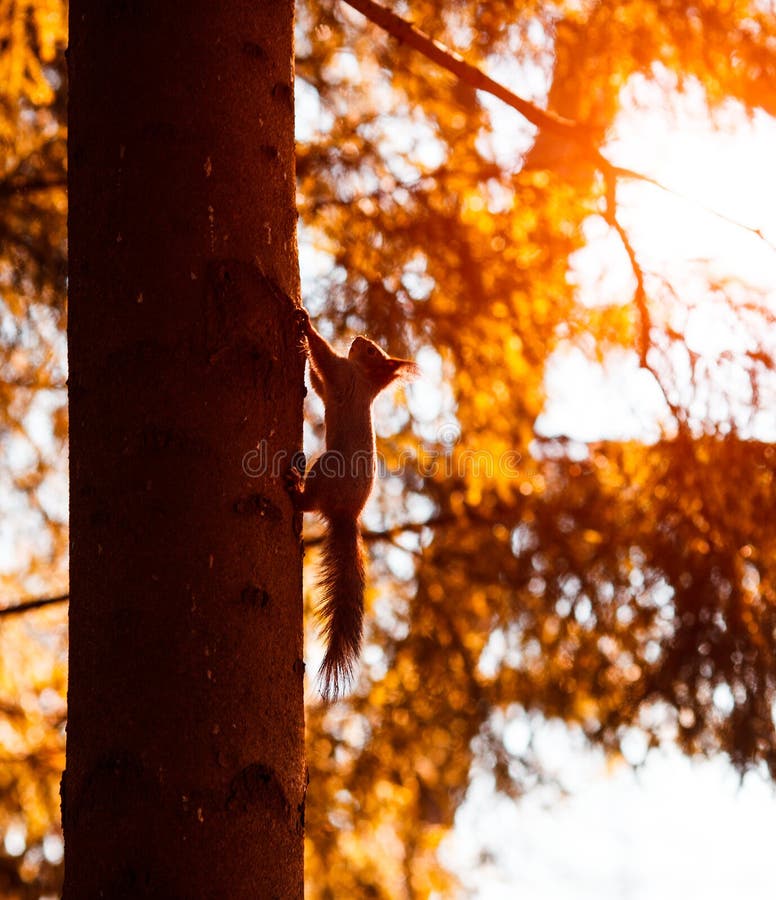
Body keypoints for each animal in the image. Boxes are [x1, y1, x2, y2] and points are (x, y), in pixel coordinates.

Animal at [288, 307, 418, 700]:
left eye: (373, 352)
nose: (359, 339)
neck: (366, 380)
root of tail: (348, 515)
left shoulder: (343, 376)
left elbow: (327, 361)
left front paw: (306, 326)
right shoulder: (338, 384)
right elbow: (319, 384)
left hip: (325, 471)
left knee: (310, 501)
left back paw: (296, 488)